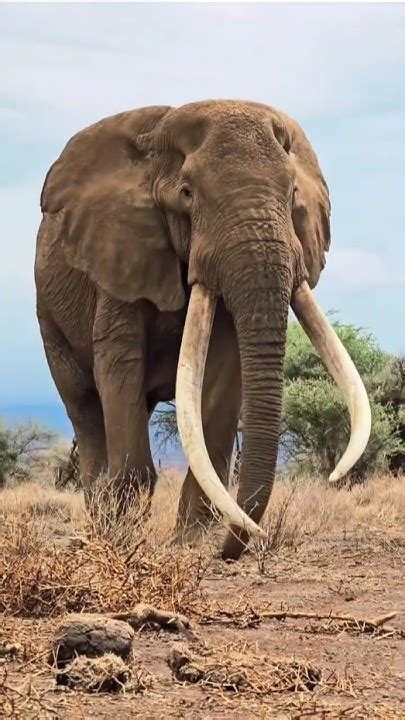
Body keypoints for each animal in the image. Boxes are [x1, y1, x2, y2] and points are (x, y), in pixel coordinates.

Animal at [35, 100, 371, 560]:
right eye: (187, 194)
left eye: (291, 196)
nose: (233, 547)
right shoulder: (117, 253)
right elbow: (120, 359)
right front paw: (122, 536)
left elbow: (224, 369)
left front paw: (192, 540)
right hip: (48, 316)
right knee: (84, 405)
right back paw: (100, 521)